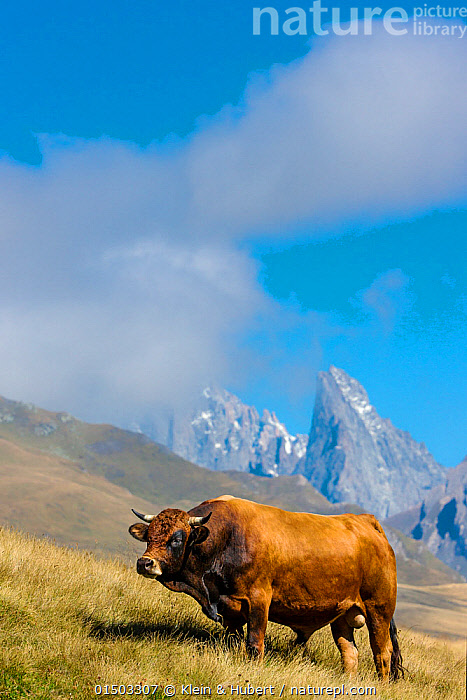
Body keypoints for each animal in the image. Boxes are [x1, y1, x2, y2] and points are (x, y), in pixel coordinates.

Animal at [129, 495, 403, 681]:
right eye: (149, 535)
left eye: (177, 538)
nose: (145, 563)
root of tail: (367, 521)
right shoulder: (229, 608)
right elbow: (234, 641)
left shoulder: (259, 600)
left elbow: (254, 643)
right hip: (342, 615)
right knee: (350, 652)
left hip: (378, 610)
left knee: (382, 653)